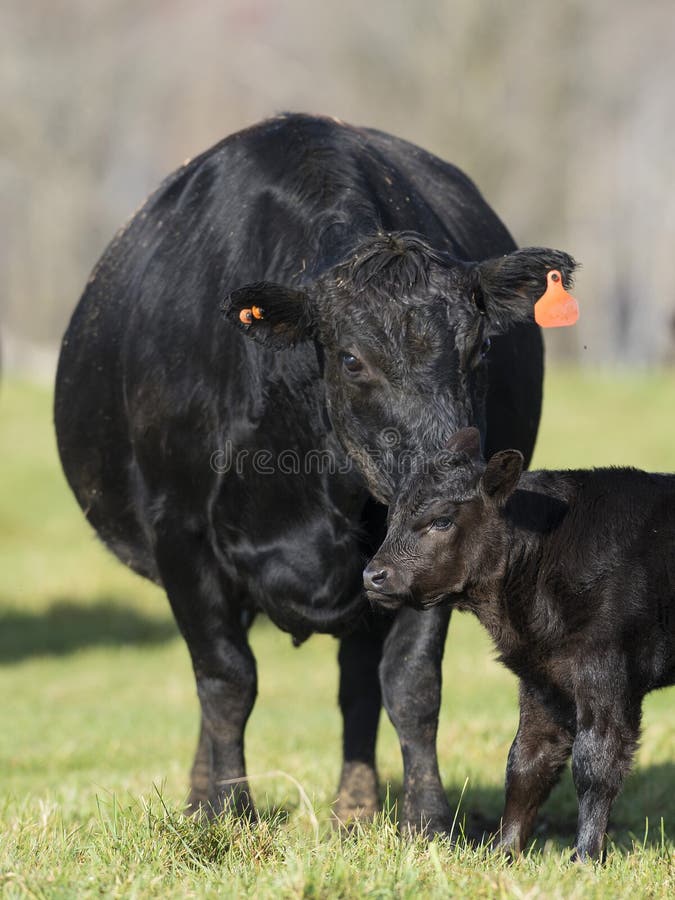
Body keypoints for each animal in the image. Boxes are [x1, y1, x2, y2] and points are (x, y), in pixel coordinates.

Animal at [54, 113, 575, 834]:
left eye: (480, 350)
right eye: (352, 359)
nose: (454, 475)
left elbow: (410, 682)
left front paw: (427, 820)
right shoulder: (178, 532)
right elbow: (227, 681)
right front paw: (229, 813)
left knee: (356, 683)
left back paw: (355, 808)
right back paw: (201, 802)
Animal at [364, 426, 675, 858]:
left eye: (442, 520)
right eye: (391, 517)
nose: (373, 575)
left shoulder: (607, 671)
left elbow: (596, 762)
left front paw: (584, 857)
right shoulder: (542, 678)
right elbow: (527, 762)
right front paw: (503, 852)